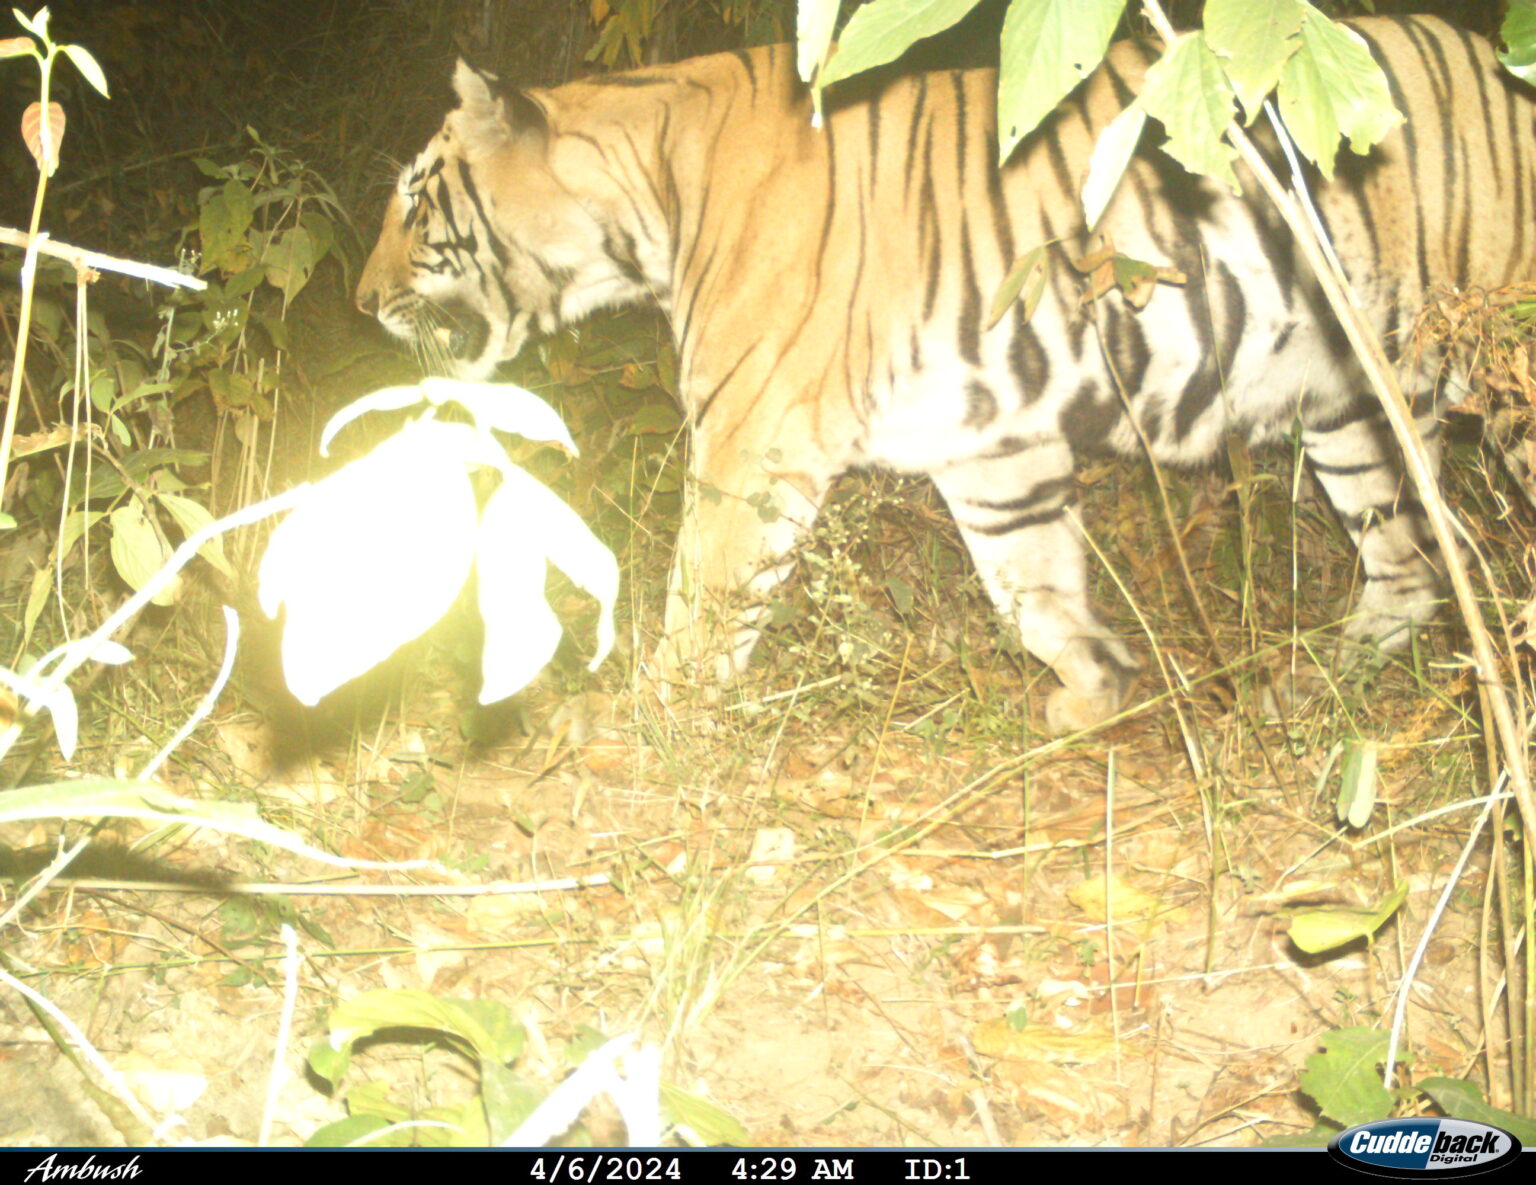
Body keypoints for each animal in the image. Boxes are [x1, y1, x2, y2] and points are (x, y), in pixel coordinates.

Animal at [356, 15, 1536, 733]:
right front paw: (1096, 696)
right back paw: (1315, 689)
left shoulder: (750, 437)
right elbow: (1037, 592)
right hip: (1350, 408)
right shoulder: (993, 447)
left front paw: (645, 729)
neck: (646, 198)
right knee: (1411, 567)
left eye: (416, 203)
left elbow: (703, 600)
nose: (359, 302)